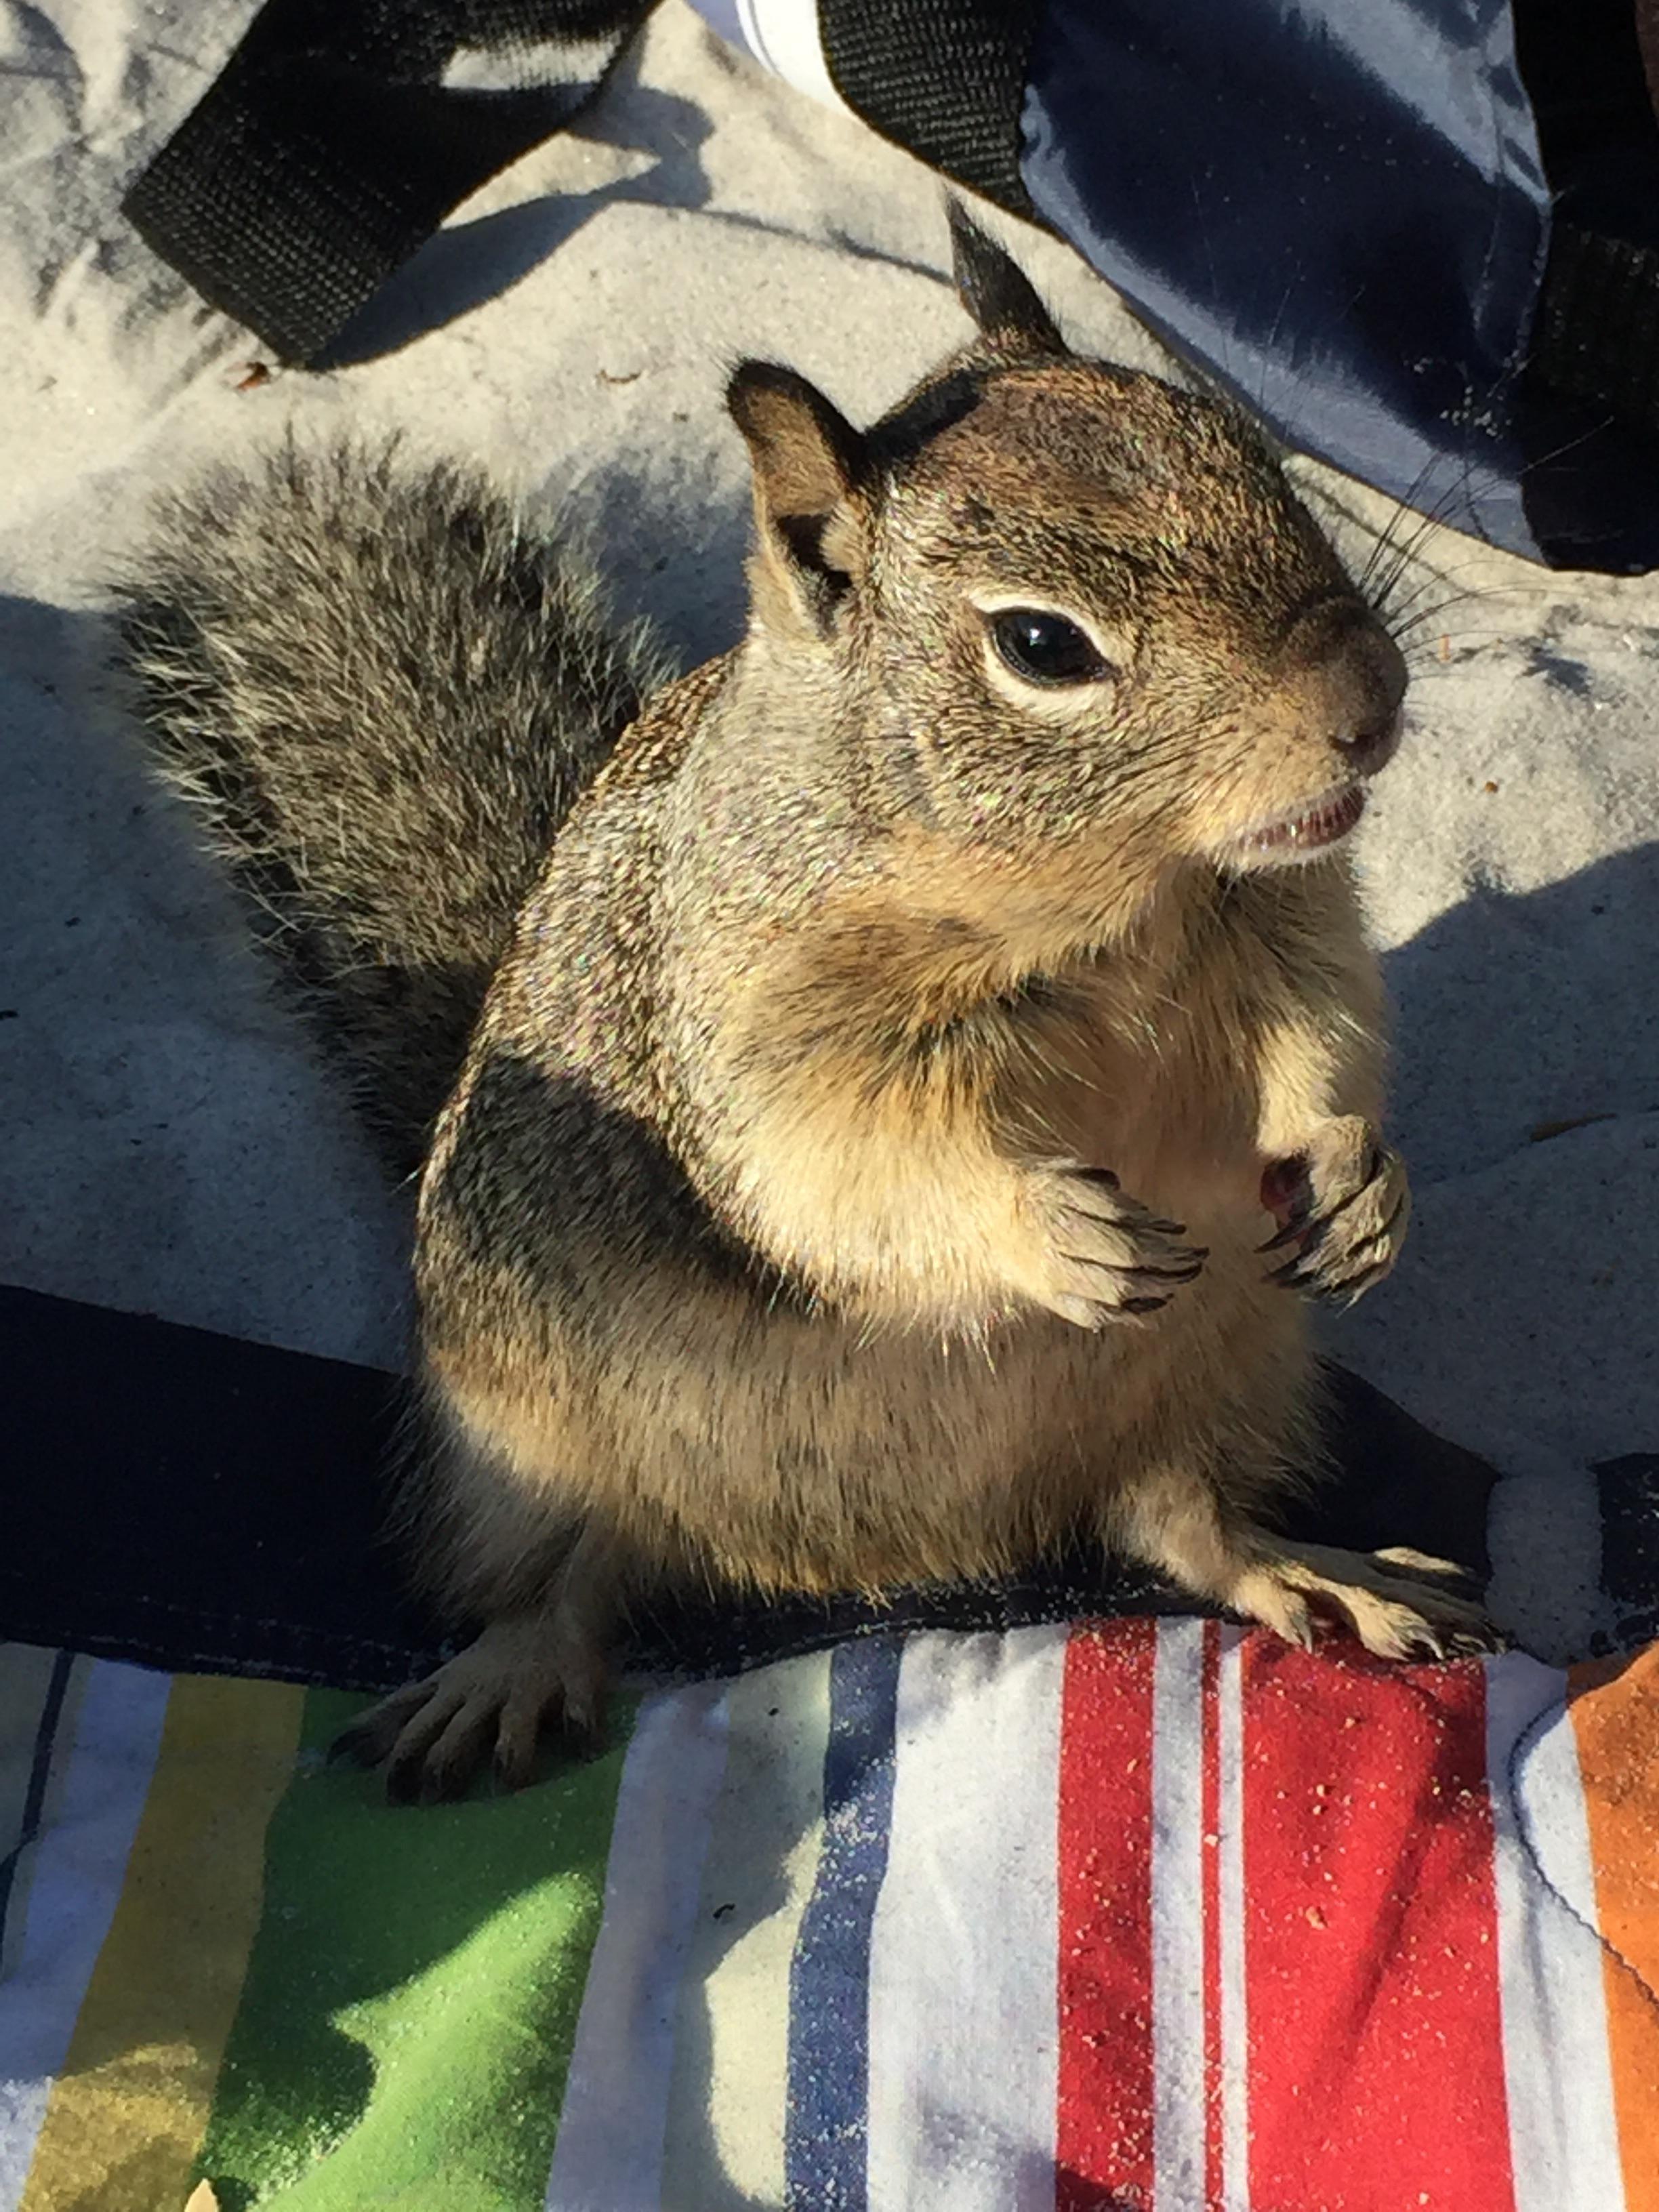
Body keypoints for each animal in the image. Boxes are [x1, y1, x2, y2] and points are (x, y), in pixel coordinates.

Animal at [114, 207, 1489, 1800]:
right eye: (1042, 646)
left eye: (1249, 454)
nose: (1369, 700)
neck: (1111, 910)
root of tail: (896, 1560)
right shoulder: (756, 1028)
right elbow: (845, 1168)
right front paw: (1046, 1227)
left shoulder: (1287, 931)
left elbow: (1326, 1043)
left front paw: (1357, 1175)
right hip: (521, 1446)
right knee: (569, 1577)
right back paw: (507, 1672)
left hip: (1209, 1384)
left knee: (1182, 1526)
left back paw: (1311, 1570)